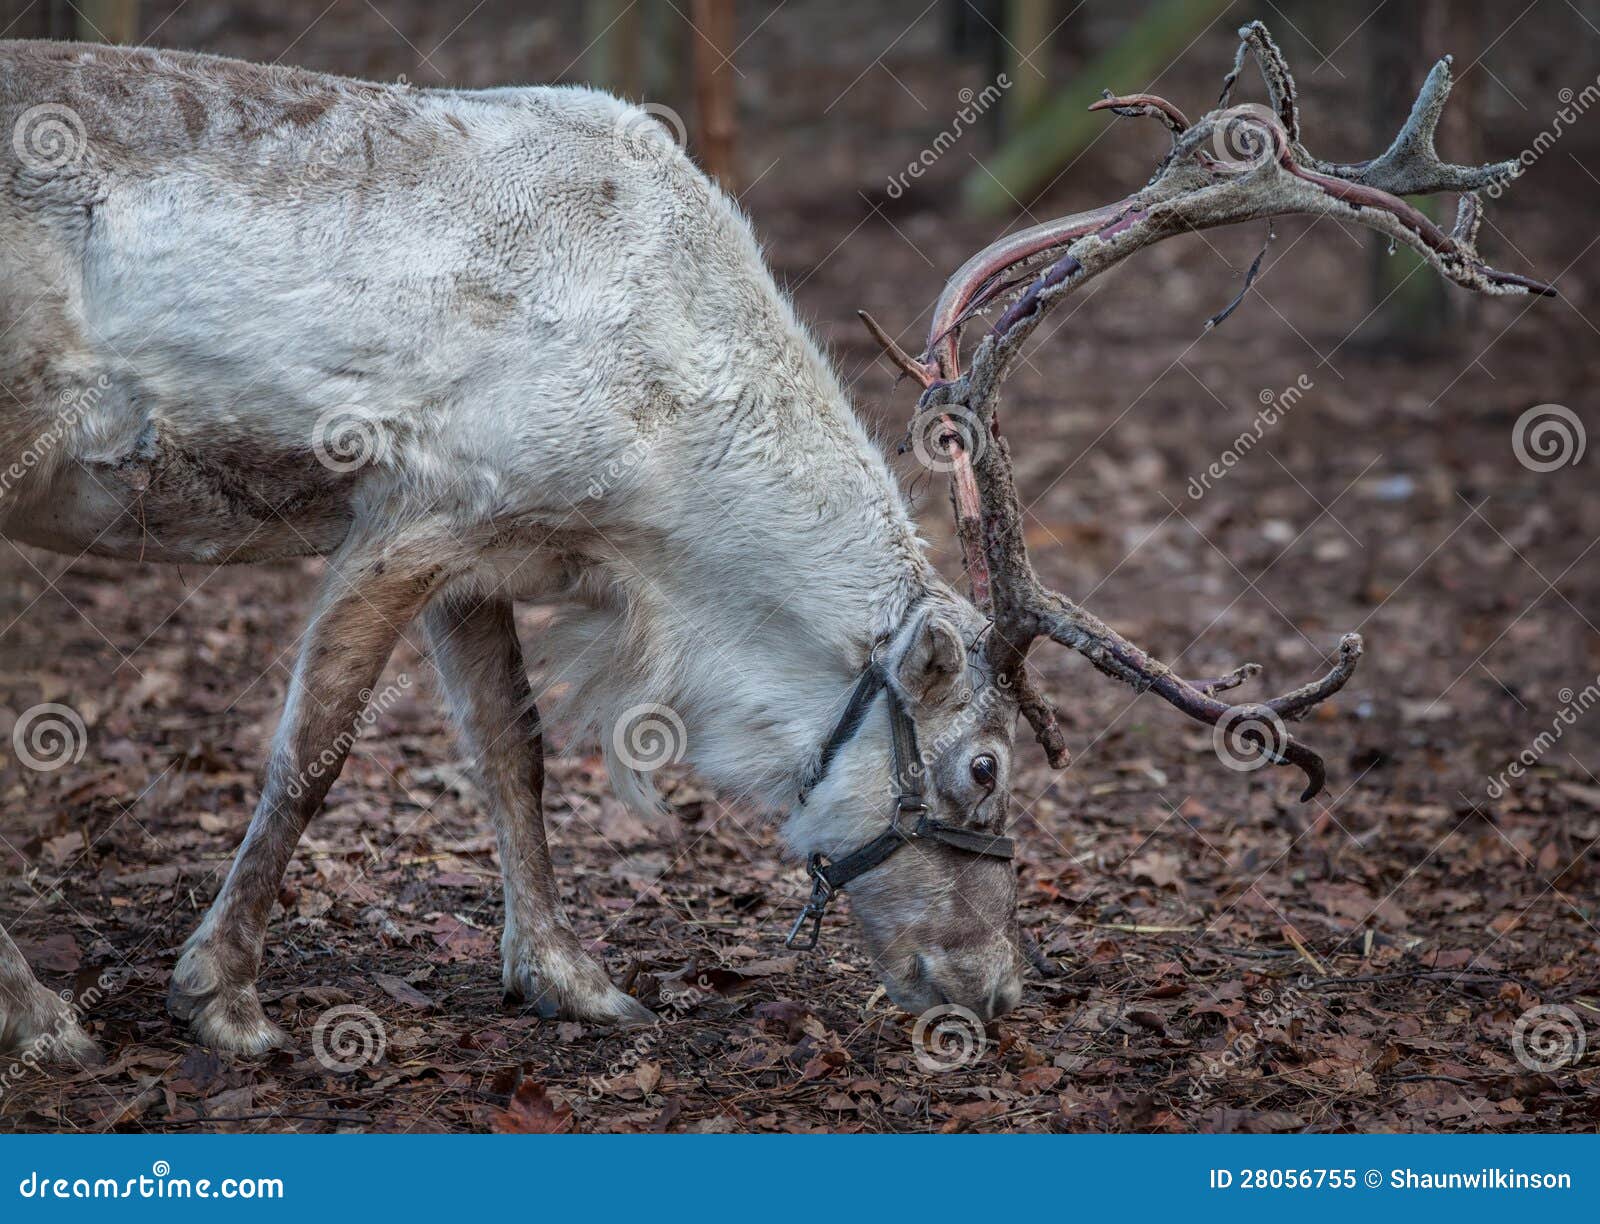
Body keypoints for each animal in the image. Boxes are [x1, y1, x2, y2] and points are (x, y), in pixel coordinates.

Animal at [0, 24, 1548, 1063]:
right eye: (984, 767)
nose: (997, 988)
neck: (661, 511)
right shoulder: (410, 515)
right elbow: (310, 759)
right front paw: (225, 1000)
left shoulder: (481, 547)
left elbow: (513, 756)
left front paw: (571, 978)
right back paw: (46, 1019)